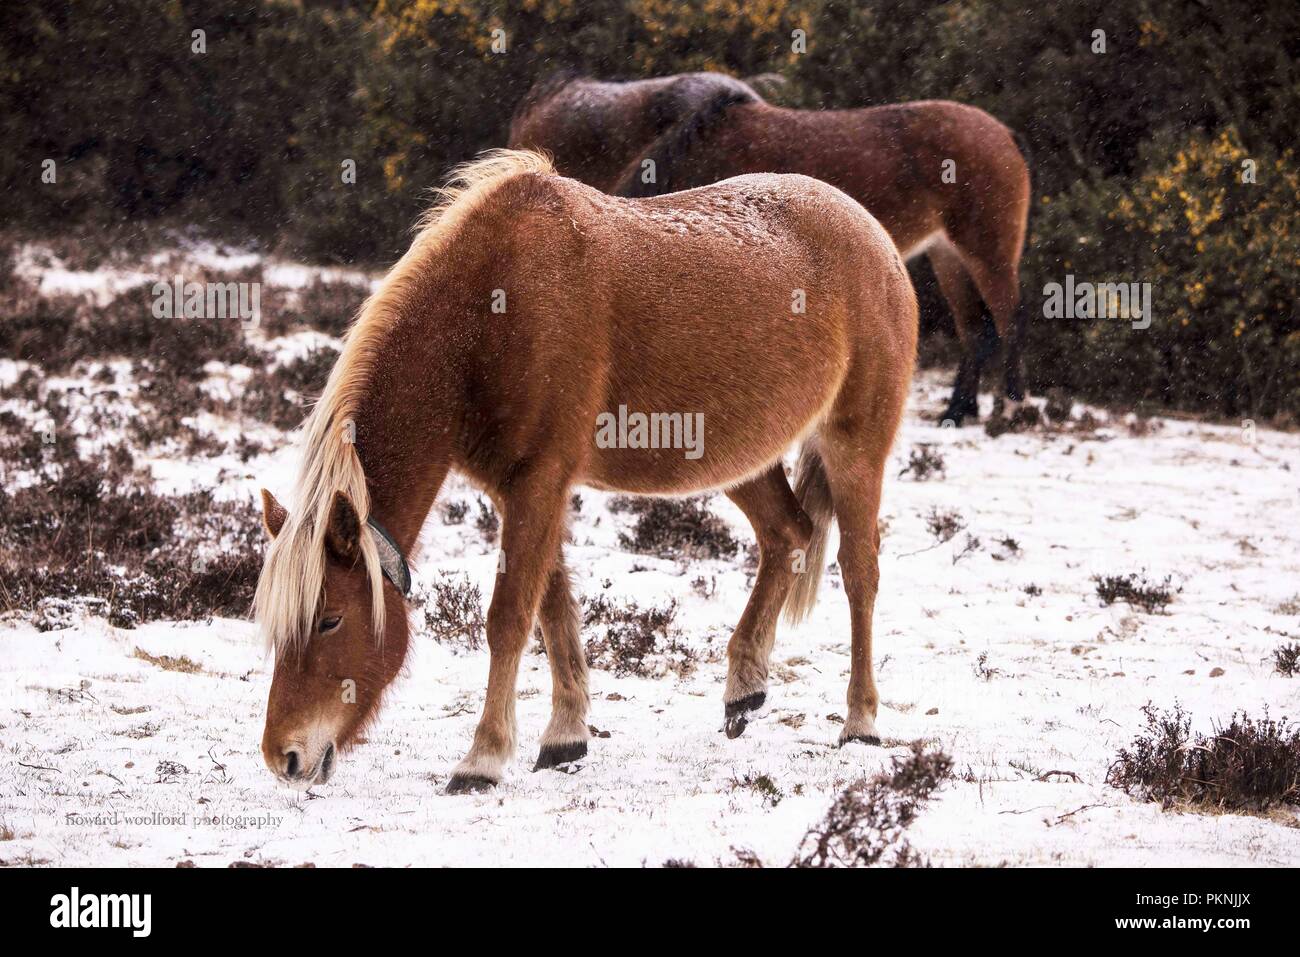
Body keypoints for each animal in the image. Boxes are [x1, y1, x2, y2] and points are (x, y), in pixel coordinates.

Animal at [254, 150, 917, 793]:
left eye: (330, 619)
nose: (283, 757)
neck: (488, 312)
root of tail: (874, 236)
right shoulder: (520, 488)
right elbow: (552, 607)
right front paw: (565, 735)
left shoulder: (540, 479)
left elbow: (510, 617)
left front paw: (482, 759)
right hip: (740, 461)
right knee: (789, 535)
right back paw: (744, 688)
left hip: (855, 444)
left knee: (859, 573)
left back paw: (860, 722)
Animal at [509, 72, 1030, 425]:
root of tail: (1005, 135)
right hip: (949, 256)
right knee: (977, 330)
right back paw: (958, 411)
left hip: (986, 250)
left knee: (1009, 317)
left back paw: (1012, 406)